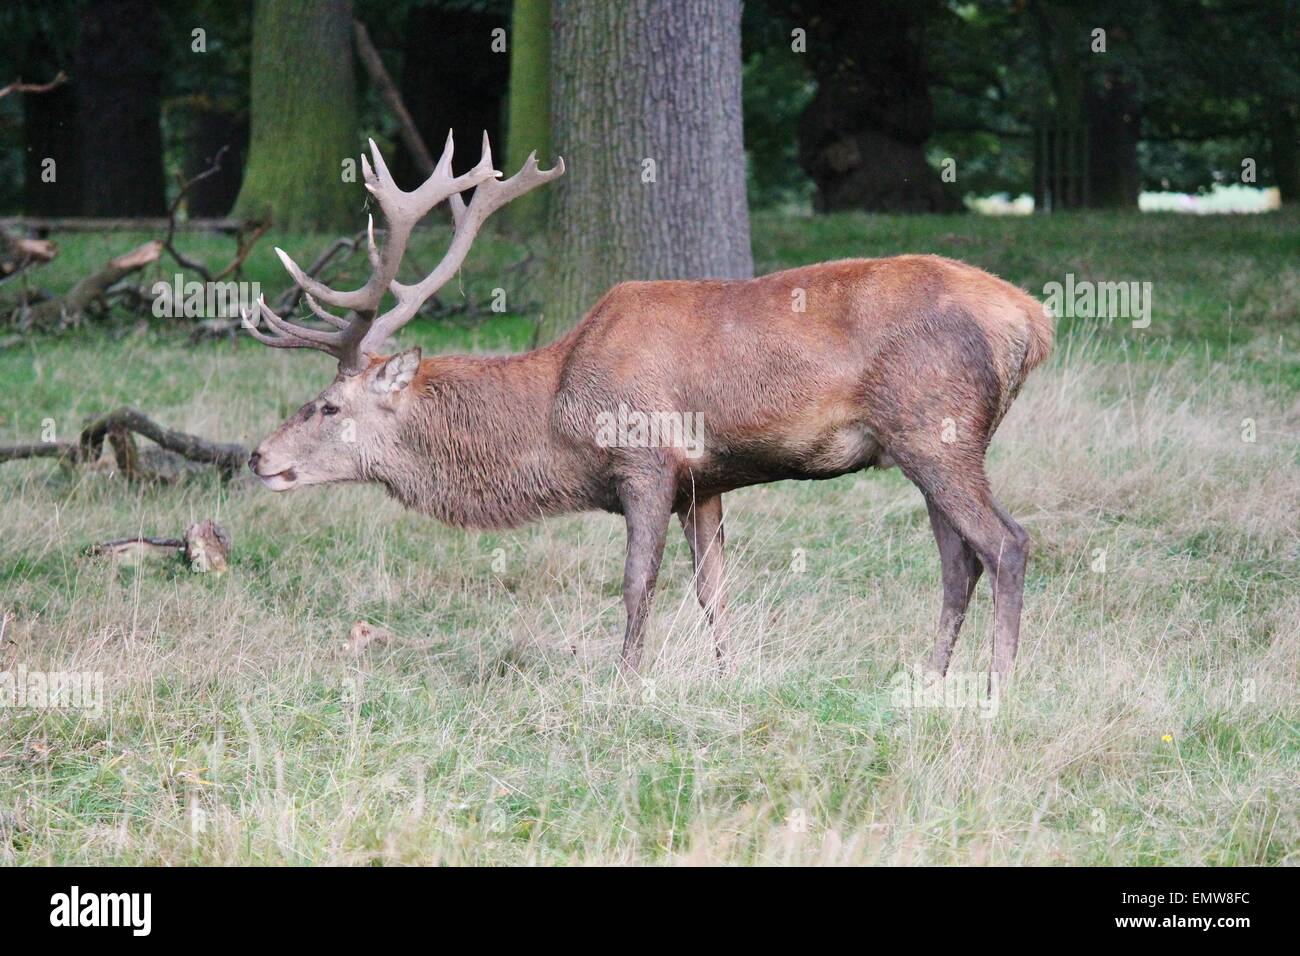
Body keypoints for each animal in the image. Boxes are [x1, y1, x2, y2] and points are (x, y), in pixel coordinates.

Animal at [245, 132, 1053, 684]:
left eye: (326, 406)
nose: (256, 456)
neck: (558, 412)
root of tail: (1032, 321)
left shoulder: (645, 457)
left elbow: (638, 584)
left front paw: (625, 682)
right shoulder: (705, 483)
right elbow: (713, 591)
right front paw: (728, 675)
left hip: (935, 427)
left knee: (1006, 543)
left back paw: (996, 688)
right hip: (923, 442)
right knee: (958, 561)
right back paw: (930, 679)